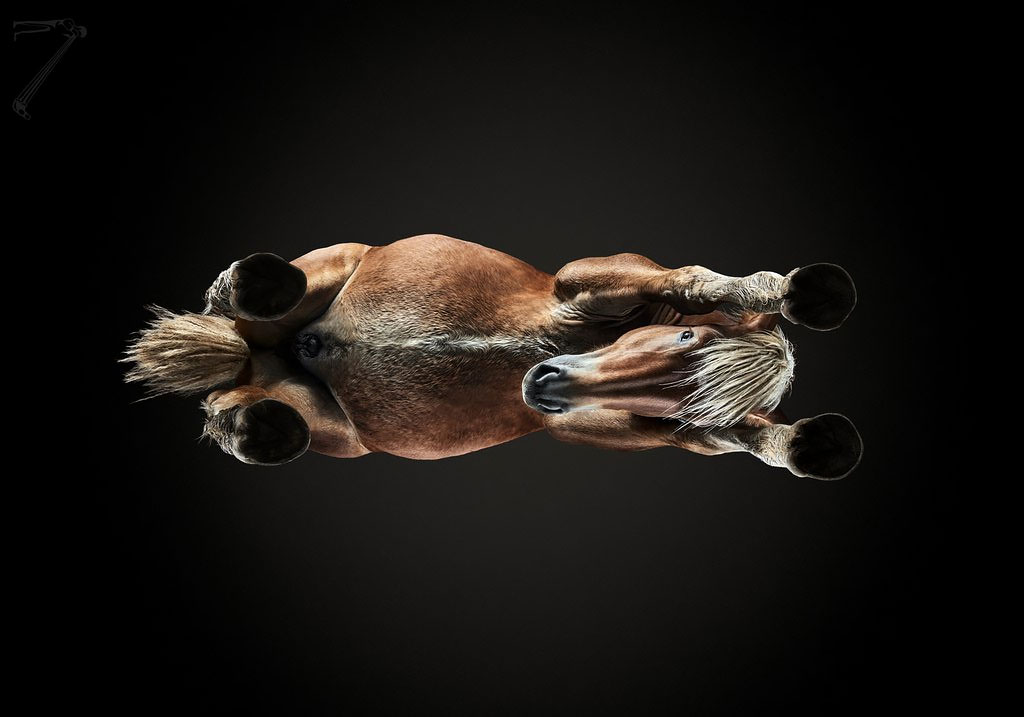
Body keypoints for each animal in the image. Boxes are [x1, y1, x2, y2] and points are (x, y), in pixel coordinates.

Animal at [123, 234, 862, 480]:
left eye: (681, 413)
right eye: (688, 342)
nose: (550, 385)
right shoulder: (592, 278)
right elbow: (697, 280)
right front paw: (788, 291)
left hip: (325, 421)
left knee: (243, 408)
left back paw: (259, 421)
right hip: (327, 269)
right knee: (250, 297)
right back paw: (250, 285)